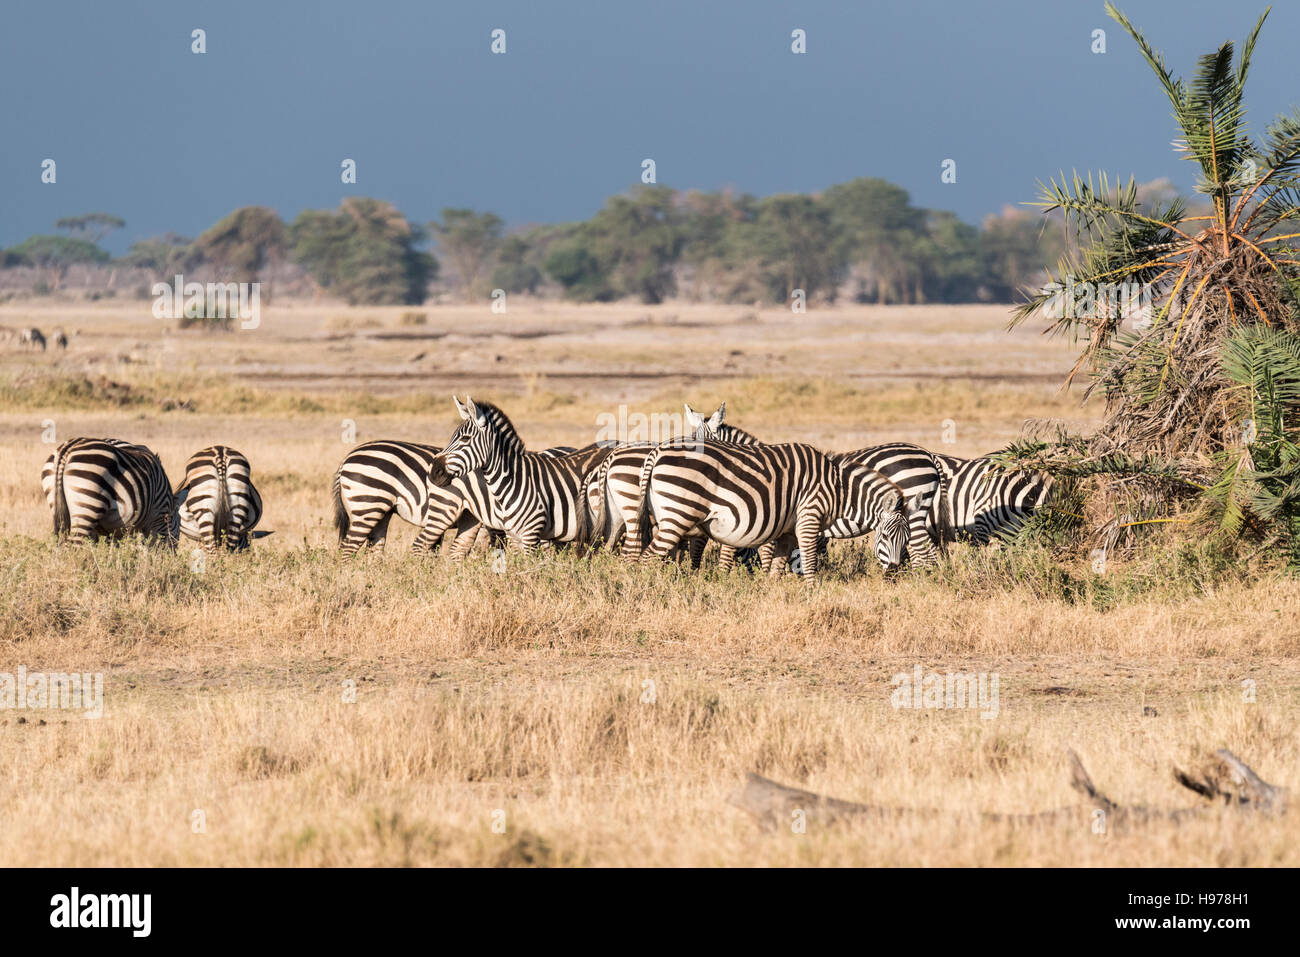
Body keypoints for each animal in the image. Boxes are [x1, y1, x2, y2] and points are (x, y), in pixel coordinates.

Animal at [634, 439, 922, 579]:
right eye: (885, 536)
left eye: (907, 539)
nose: (894, 574)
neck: (837, 489)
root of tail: (658, 450)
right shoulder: (809, 519)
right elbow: (809, 562)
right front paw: (811, 594)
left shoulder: (787, 531)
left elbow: (776, 568)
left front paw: (772, 599)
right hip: (678, 515)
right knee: (648, 559)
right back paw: (651, 593)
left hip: (666, 516)